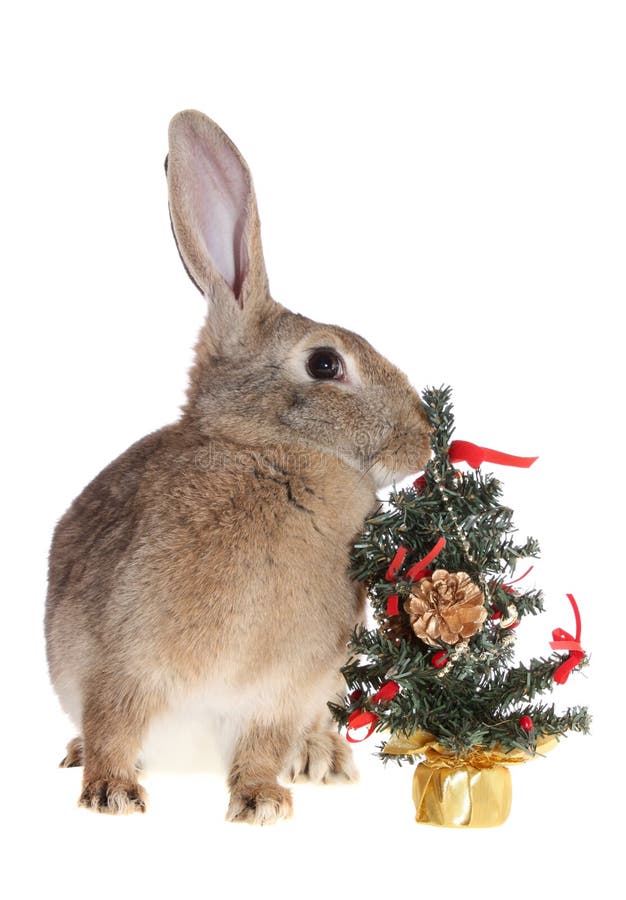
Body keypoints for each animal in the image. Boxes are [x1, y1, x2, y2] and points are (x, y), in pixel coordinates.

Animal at [45, 109, 431, 823]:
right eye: (326, 363)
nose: (423, 438)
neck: (271, 457)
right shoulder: (120, 661)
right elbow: (114, 723)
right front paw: (111, 794)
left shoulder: (283, 687)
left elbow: (261, 746)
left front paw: (260, 802)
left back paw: (321, 759)